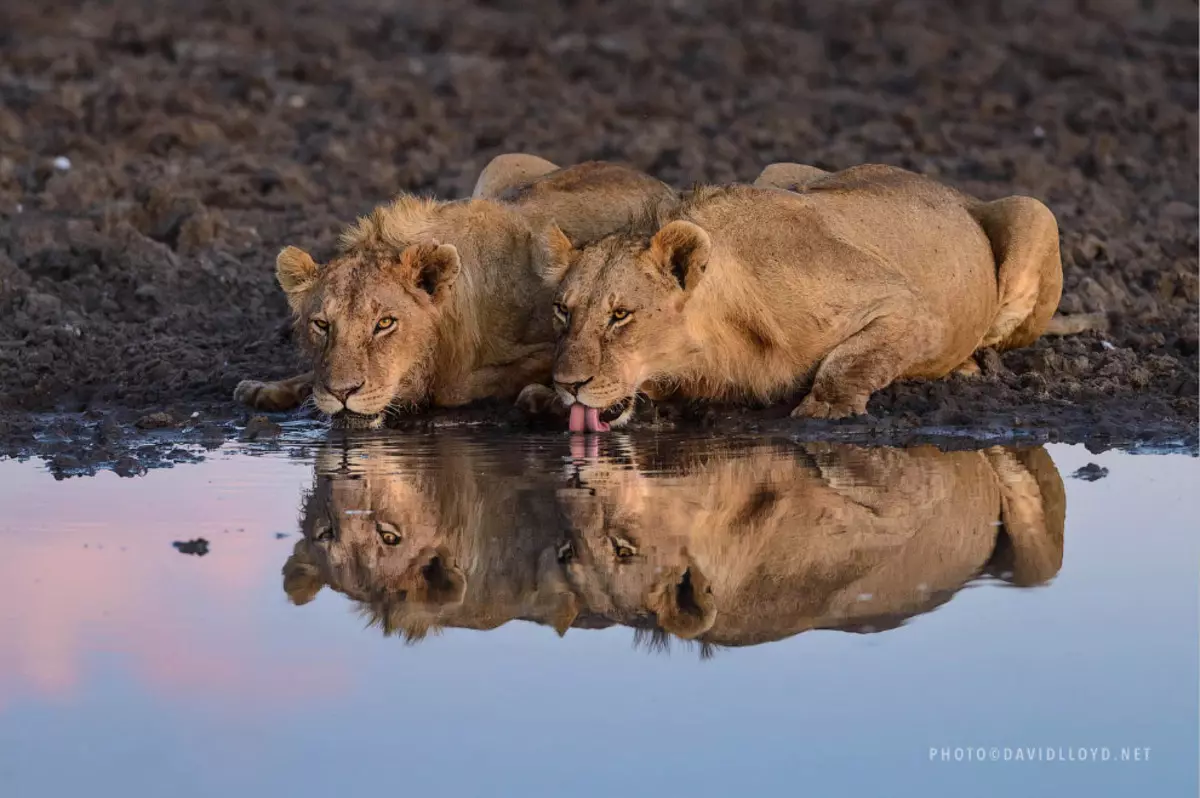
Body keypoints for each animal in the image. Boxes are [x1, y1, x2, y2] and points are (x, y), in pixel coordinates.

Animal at [228, 156, 672, 429]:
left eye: (384, 323)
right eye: (321, 325)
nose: (342, 393)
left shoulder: (558, 346)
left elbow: (455, 386)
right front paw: (270, 388)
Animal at [532, 158, 1060, 427]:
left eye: (621, 315)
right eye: (561, 311)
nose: (568, 383)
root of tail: (953, 190)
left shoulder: (911, 309)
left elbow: (851, 358)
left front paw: (825, 406)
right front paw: (541, 396)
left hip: (1034, 211)